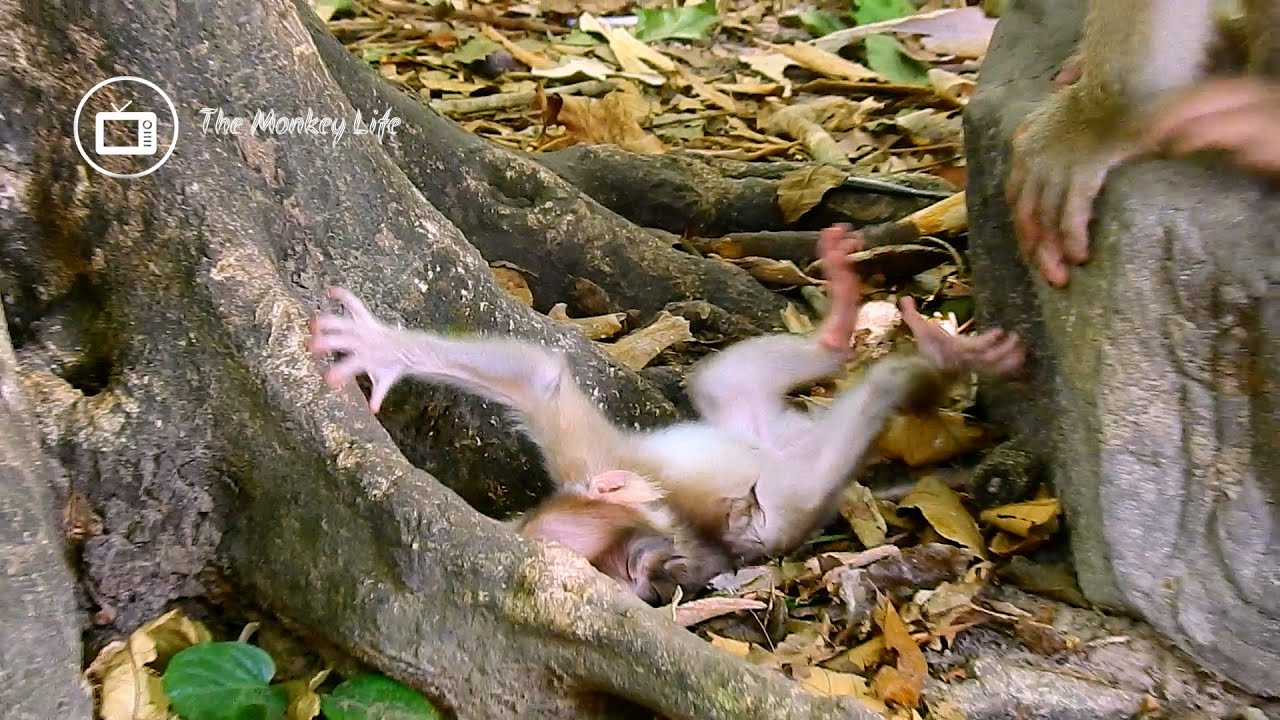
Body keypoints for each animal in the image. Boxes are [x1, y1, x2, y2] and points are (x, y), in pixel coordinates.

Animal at [305, 225, 1025, 605]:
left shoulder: (591, 462)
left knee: (856, 417)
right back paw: (848, 329)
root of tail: (787, 438)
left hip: (799, 488)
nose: (652, 567)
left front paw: (382, 349)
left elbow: (541, 380)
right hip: (748, 416)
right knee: (721, 380)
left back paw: (918, 350)